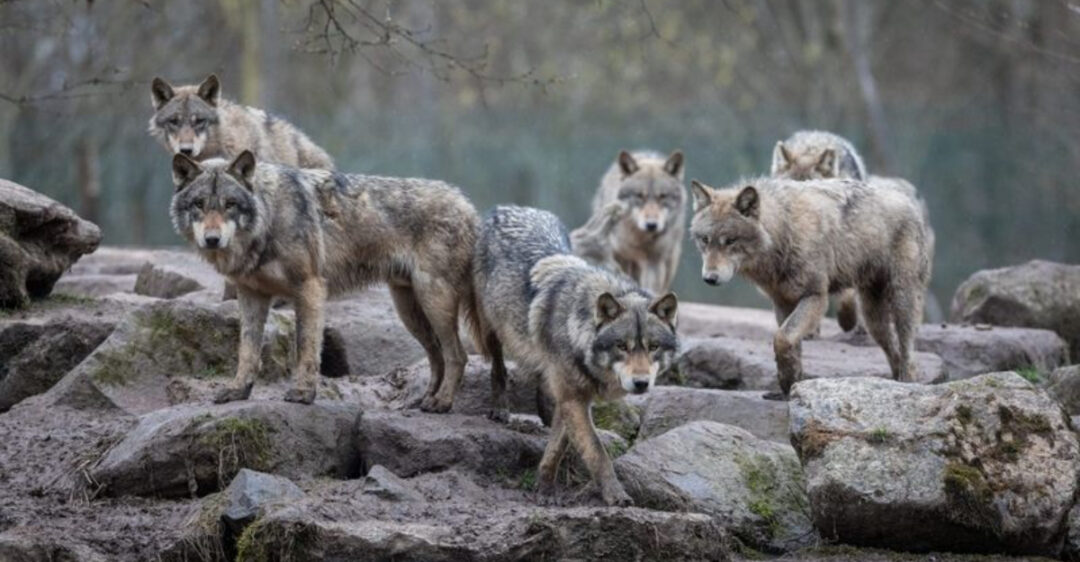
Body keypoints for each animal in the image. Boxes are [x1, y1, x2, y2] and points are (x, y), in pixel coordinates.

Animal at [169, 151, 480, 409]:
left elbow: (306, 346)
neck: (269, 218)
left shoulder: (310, 287)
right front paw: (238, 390)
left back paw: (441, 403)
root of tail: (467, 204)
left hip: (433, 301)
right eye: (199, 204)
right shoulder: (251, 295)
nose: (212, 239)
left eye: (230, 204)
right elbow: (247, 350)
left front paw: (303, 393)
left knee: (457, 355)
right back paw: (425, 399)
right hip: (409, 310)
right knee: (437, 356)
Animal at [473, 205, 679, 506]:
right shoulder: (574, 399)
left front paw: (544, 487)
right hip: (491, 327)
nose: (641, 383)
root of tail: (509, 207)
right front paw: (615, 495)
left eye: (653, 347)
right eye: (622, 346)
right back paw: (500, 407)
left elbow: (557, 446)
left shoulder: (573, 399)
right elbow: (596, 451)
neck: (577, 327)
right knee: (498, 366)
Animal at [580, 150, 686, 294]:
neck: (639, 239)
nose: (651, 225)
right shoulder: (620, 257)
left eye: (663, 196)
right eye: (639, 196)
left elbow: (651, 287)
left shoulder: (654, 262)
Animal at [689, 177, 931, 397]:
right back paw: (896, 381)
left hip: (901, 301)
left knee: (908, 349)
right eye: (705, 240)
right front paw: (791, 383)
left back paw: (908, 383)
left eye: (730, 241)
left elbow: (782, 338)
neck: (785, 232)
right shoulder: (782, 302)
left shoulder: (815, 297)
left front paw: (788, 381)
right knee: (894, 350)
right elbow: (790, 343)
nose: (709, 278)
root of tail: (908, 200)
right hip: (873, 319)